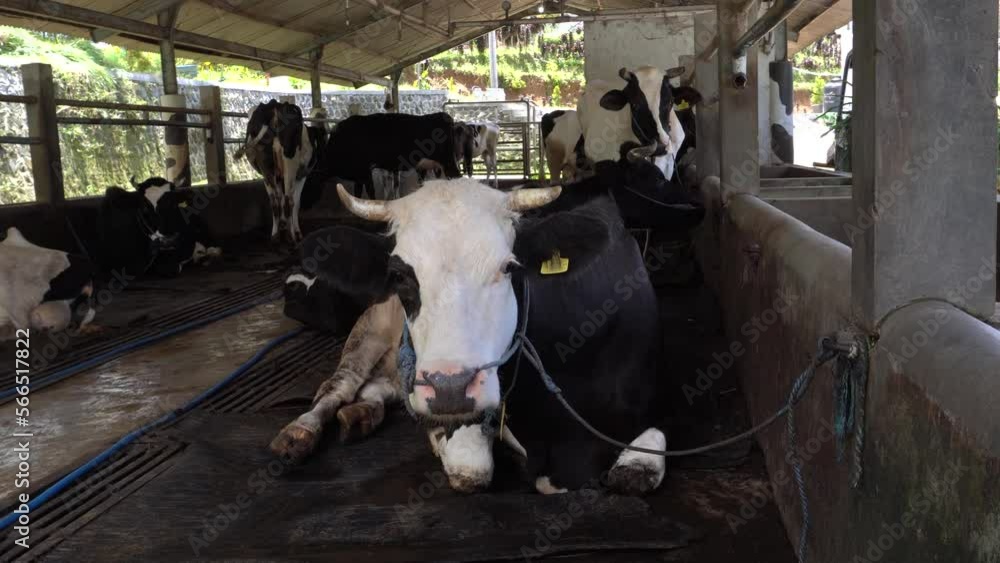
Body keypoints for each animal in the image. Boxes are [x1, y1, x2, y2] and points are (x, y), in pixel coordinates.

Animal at [239, 100, 325, 243]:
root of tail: (274, 105)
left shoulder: (278, 176)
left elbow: (279, 198)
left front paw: (283, 225)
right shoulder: (301, 176)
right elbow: (296, 201)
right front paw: (295, 230)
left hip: (266, 168)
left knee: (274, 201)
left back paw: (275, 236)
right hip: (290, 163)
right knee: (289, 200)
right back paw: (291, 237)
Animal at [271, 158, 704, 495]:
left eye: (509, 267)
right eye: (399, 275)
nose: (449, 387)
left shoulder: (663, 392)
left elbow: (639, 467)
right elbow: (471, 472)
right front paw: (437, 439)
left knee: (382, 388)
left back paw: (362, 413)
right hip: (371, 330)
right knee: (338, 386)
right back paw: (300, 432)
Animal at [300, 112, 462, 210]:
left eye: (309, 184)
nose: (302, 205)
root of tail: (444, 115)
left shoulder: (365, 170)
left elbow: (371, 192)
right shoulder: (359, 175)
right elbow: (357, 193)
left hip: (448, 162)